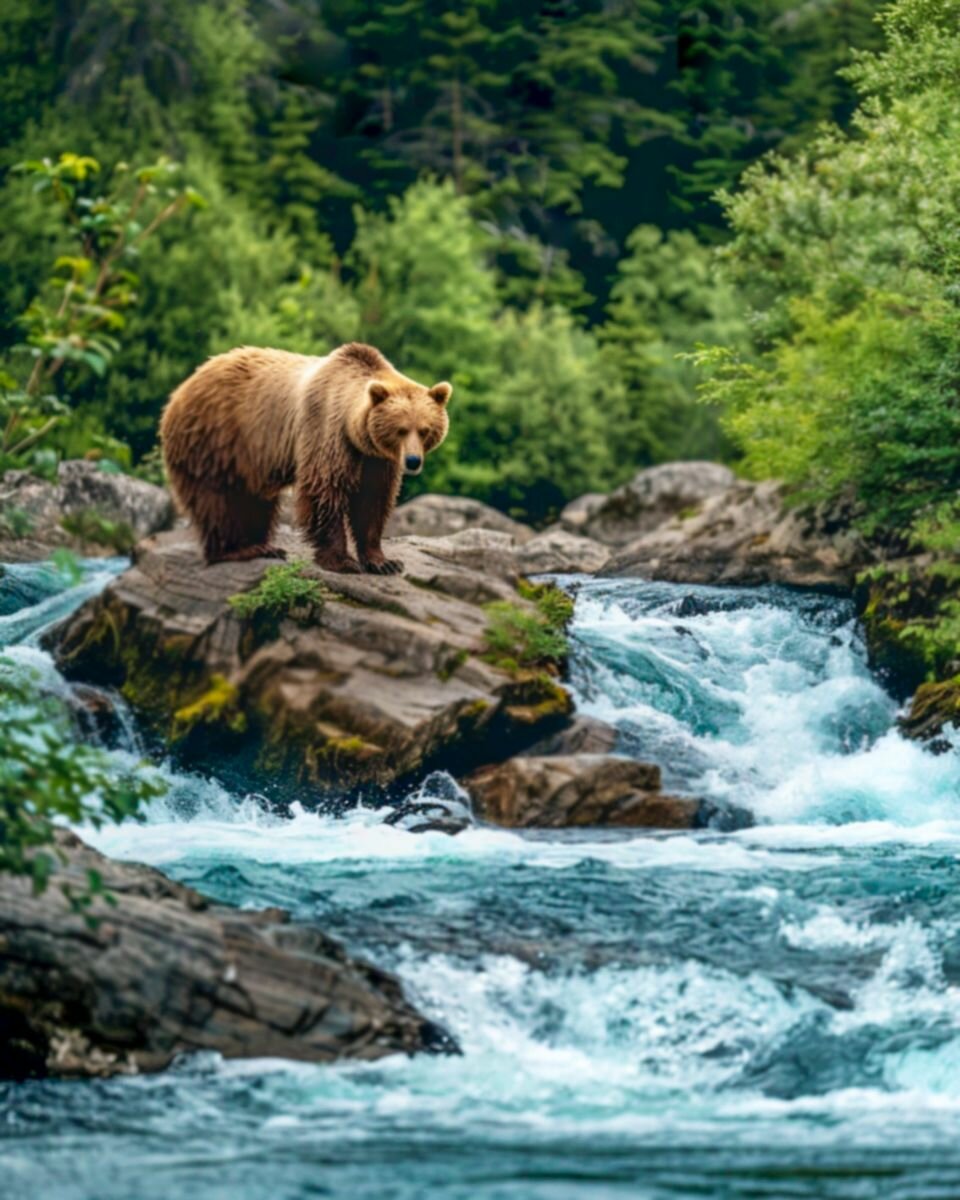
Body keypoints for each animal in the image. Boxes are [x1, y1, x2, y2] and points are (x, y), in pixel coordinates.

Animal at [160, 342, 452, 574]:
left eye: (425, 430)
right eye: (400, 429)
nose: (413, 461)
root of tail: (181, 389)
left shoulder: (376, 458)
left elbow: (373, 501)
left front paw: (384, 562)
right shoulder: (327, 431)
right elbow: (325, 490)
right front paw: (342, 561)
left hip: (247, 457)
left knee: (254, 500)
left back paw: (261, 545)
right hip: (215, 438)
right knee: (217, 500)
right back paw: (238, 550)